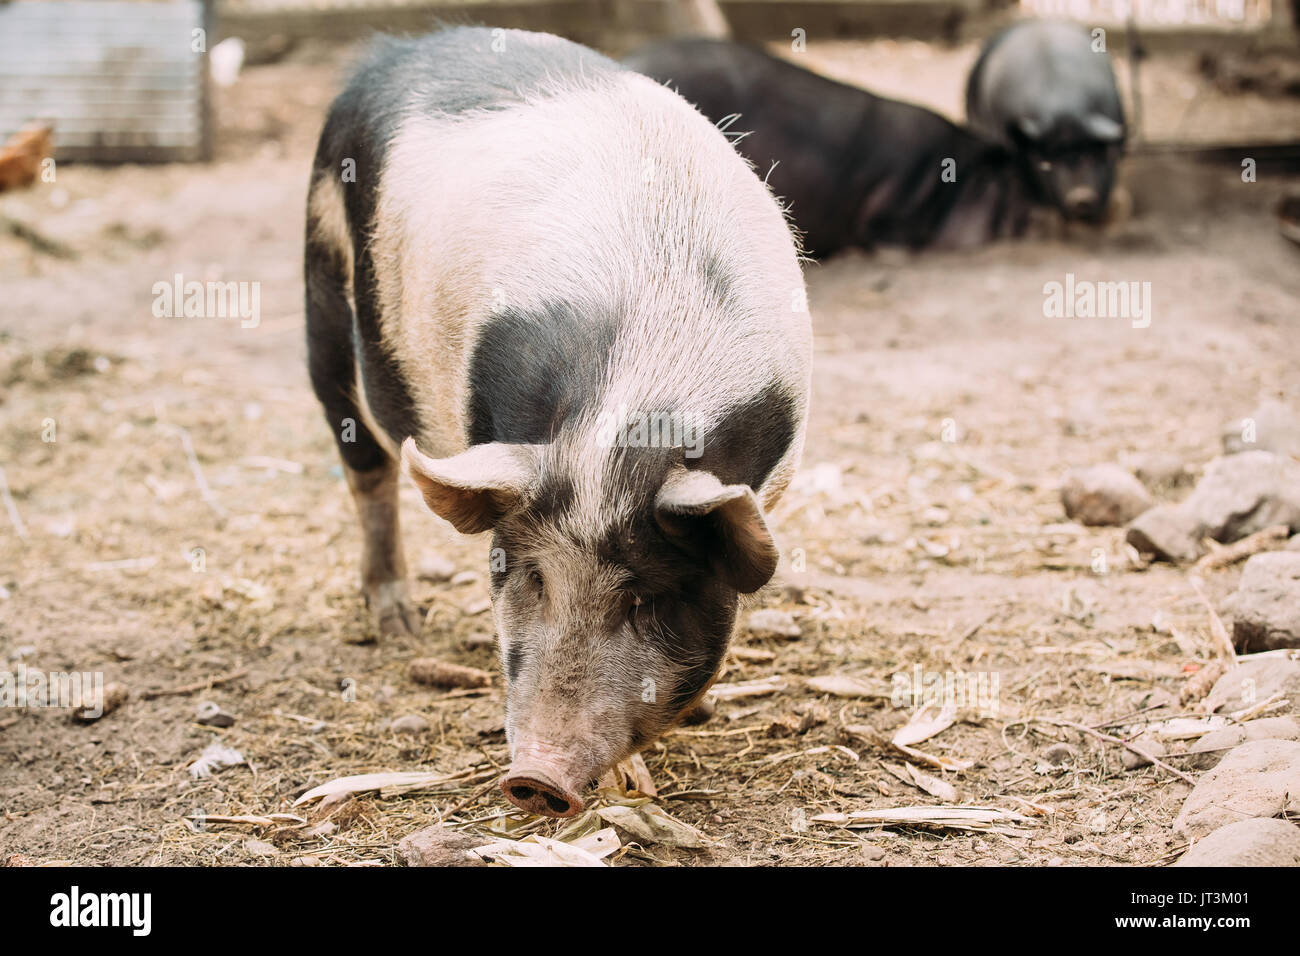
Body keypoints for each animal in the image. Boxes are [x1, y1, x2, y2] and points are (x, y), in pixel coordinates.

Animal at [304, 27, 811, 817]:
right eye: (534, 579)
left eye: (645, 597)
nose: (535, 780)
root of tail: (402, 46)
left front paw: (699, 715)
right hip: (323, 290)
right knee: (366, 473)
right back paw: (397, 623)